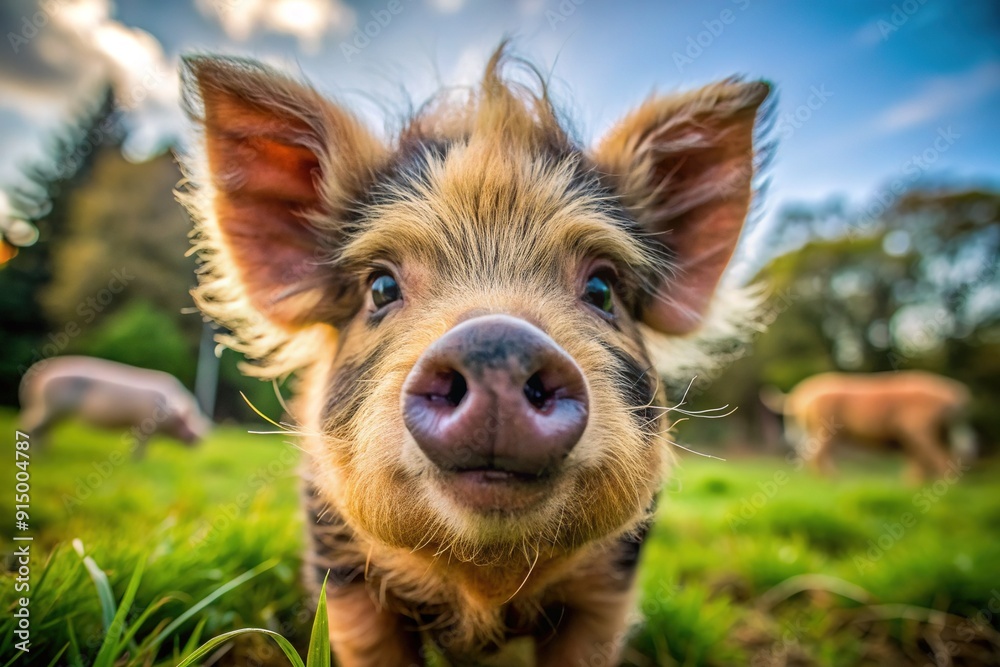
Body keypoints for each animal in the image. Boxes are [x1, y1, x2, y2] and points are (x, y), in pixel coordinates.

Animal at [19, 356, 211, 457]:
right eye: (193, 427)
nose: (200, 443)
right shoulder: (144, 423)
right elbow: (142, 444)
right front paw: (138, 461)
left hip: (54, 411)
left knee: (42, 429)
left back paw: (47, 453)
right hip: (54, 406)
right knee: (32, 427)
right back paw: (39, 457)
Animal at [178, 44, 770, 665]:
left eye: (602, 288)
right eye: (381, 288)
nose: (497, 343)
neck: (484, 591)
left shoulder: (607, 590)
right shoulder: (342, 575)